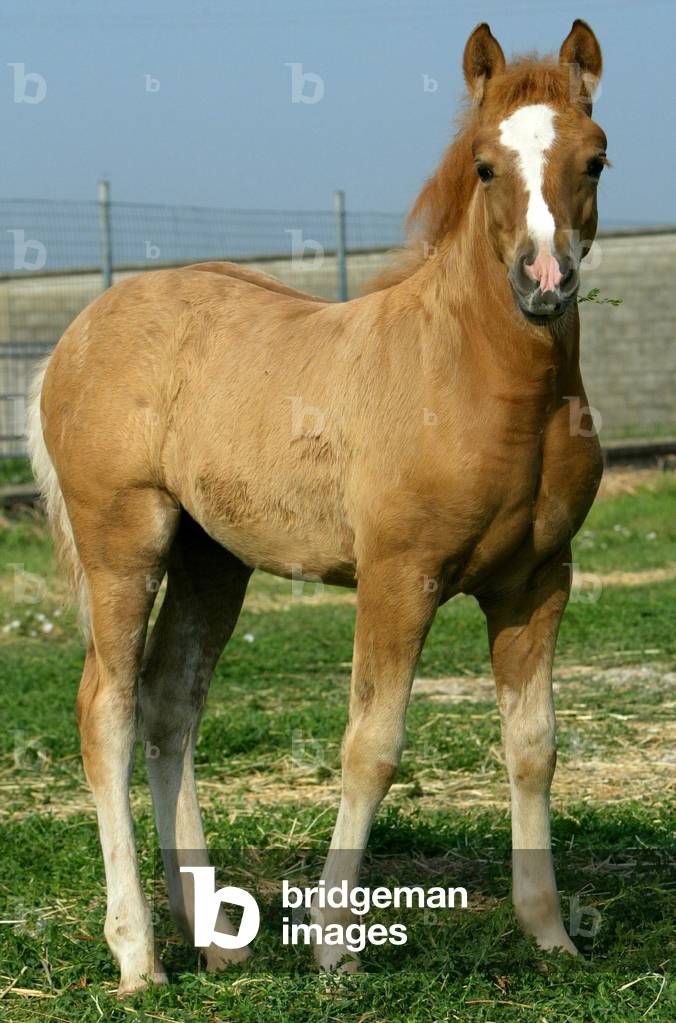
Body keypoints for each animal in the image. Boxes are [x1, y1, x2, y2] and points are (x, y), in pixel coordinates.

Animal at [28, 19, 607, 995]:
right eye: (486, 166)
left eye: (596, 158)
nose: (543, 282)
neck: (472, 374)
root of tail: (73, 335)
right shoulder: (398, 576)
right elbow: (370, 747)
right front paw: (336, 943)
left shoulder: (537, 582)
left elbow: (535, 745)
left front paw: (550, 933)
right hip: (124, 542)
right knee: (106, 709)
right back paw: (138, 955)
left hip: (211, 559)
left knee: (170, 704)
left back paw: (214, 936)